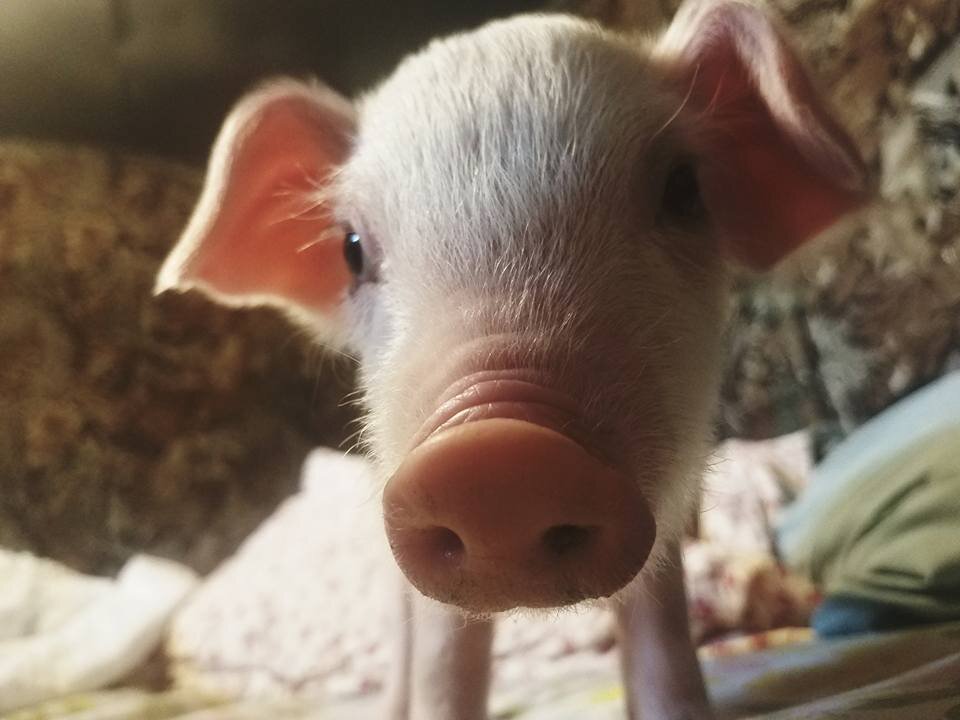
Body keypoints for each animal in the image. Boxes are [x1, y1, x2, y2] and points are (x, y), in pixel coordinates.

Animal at [155, 0, 866, 717]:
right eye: (352, 249)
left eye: (685, 191)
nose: (495, 452)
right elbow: (444, 668)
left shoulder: (667, 527)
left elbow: (662, 644)